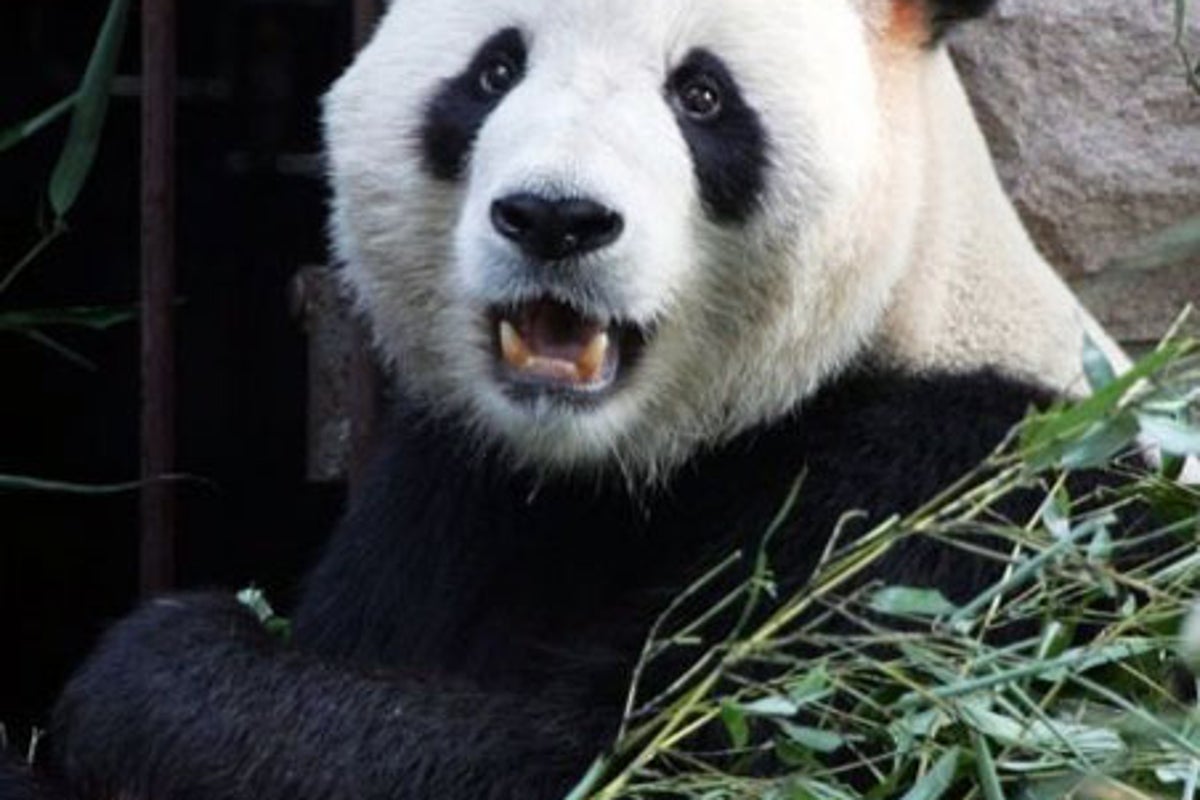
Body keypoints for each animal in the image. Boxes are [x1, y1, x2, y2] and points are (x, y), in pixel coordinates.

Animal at [14, 1, 1133, 799]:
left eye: (701, 94)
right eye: (495, 69)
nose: (555, 219)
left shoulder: (961, 510)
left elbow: (661, 753)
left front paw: (152, 675)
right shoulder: (451, 488)